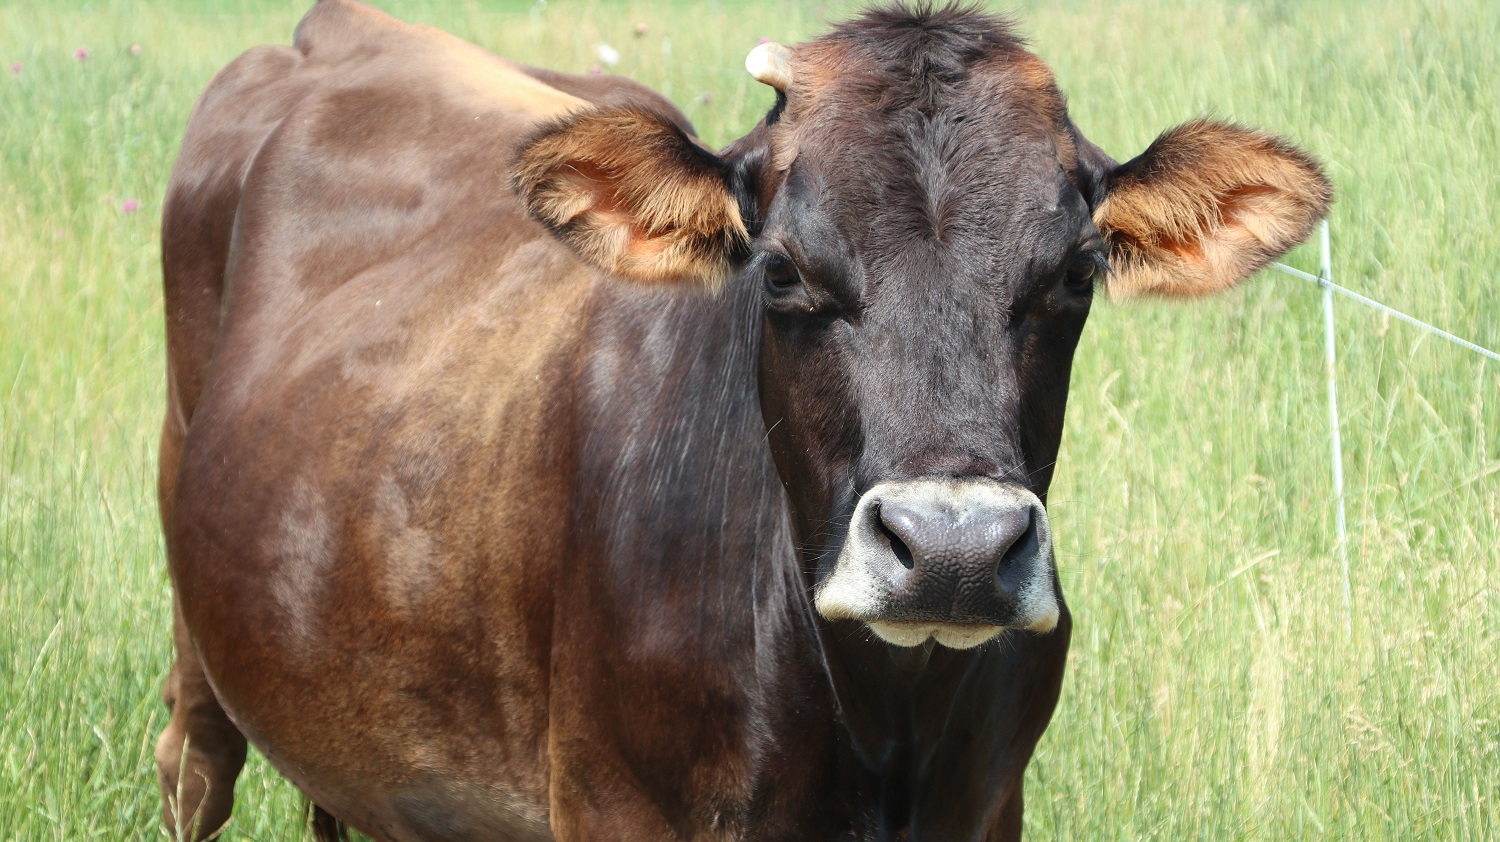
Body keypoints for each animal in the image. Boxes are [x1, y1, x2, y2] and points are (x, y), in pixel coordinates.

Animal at [153, 1, 1331, 839]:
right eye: (785, 269)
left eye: (1075, 276)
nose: (953, 549)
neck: (879, 721)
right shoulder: (614, 801)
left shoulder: (993, 805)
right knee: (194, 765)